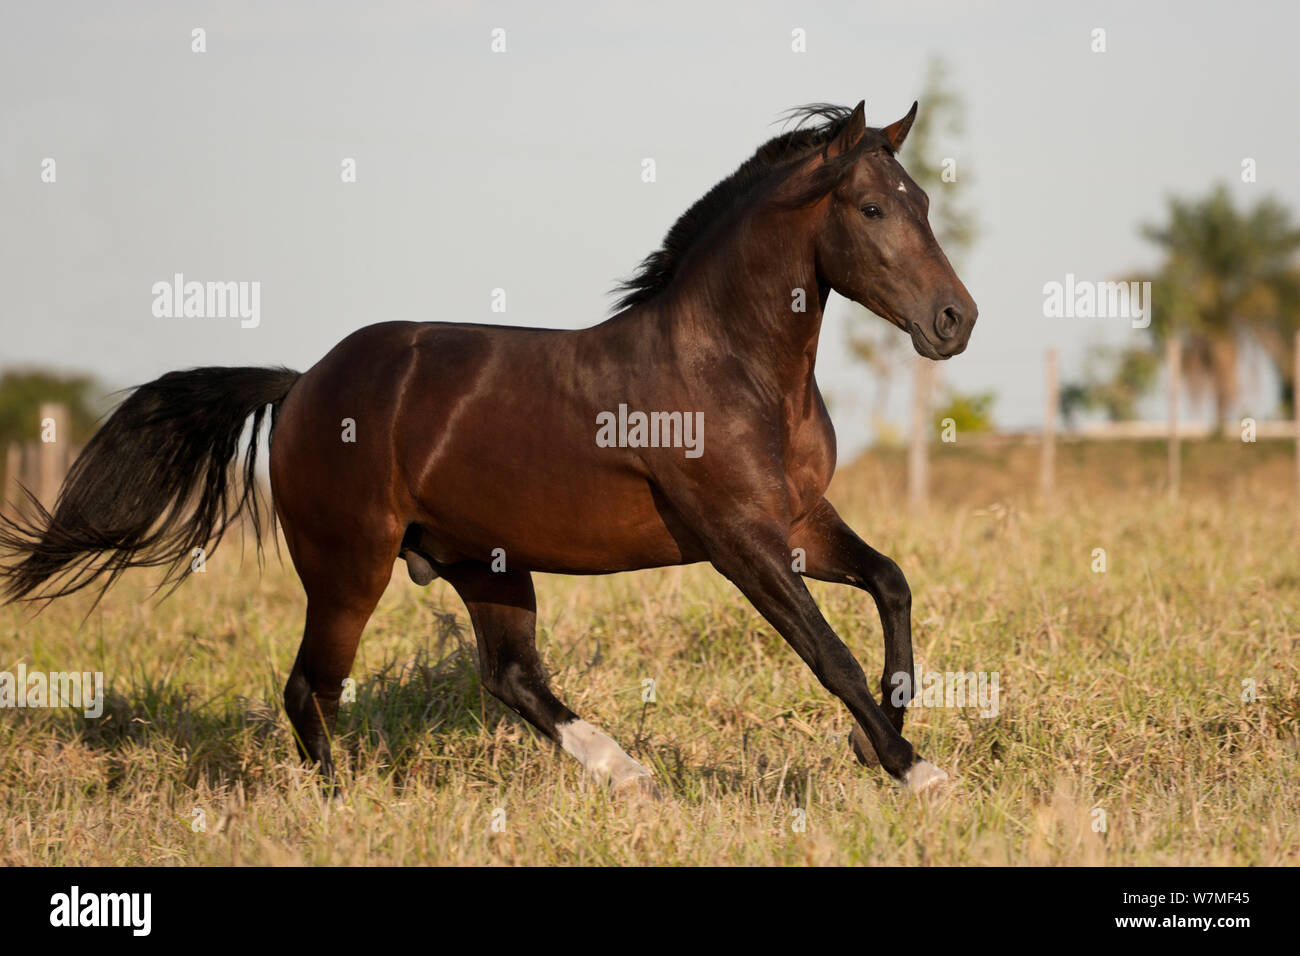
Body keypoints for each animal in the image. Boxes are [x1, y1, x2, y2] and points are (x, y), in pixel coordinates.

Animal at [1, 100, 976, 797]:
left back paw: (628, 776)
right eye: (872, 206)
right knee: (311, 689)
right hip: (349, 568)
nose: (954, 321)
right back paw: (344, 808)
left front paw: (878, 737)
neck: (731, 368)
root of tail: (302, 383)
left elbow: (891, 583)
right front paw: (915, 770)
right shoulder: (740, 538)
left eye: (926, 202)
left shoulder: (799, 519)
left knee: (509, 676)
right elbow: (826, 650)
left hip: (484, 562)